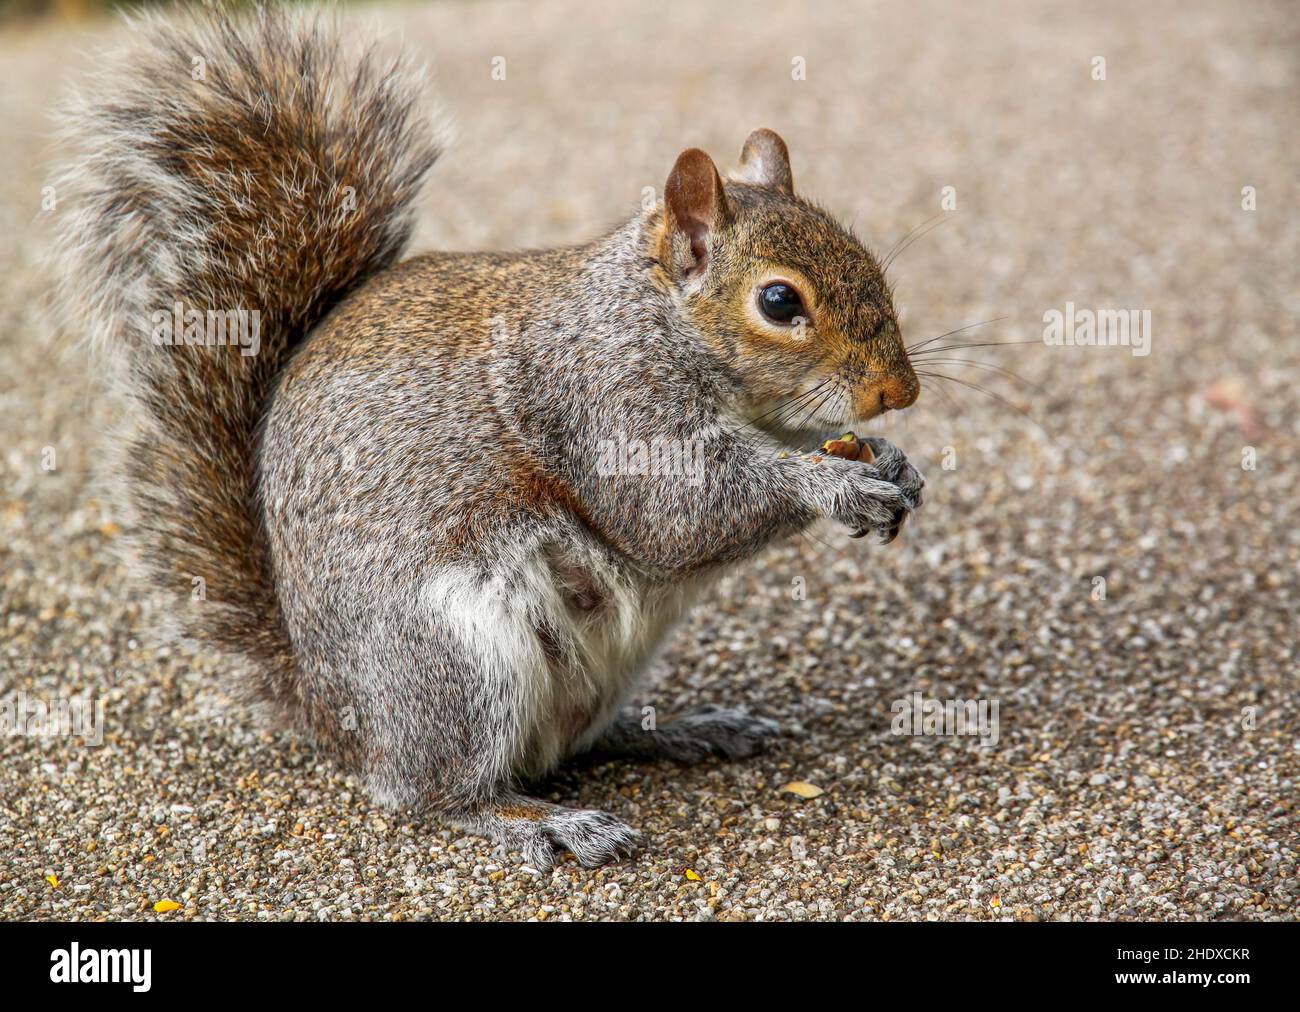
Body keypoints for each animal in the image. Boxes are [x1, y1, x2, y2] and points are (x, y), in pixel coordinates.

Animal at [53, 5, 924, 869]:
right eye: (779, 301)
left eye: (867, 258)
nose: (900, 391)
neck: (658, 320)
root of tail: (334, 715)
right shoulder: (604, 401)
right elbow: (676, 516)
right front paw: (832, 483)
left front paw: (891, 463)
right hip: (458, 661)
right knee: (433, 791)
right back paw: (539, 821)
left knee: (581, 740)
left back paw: (685, 729)